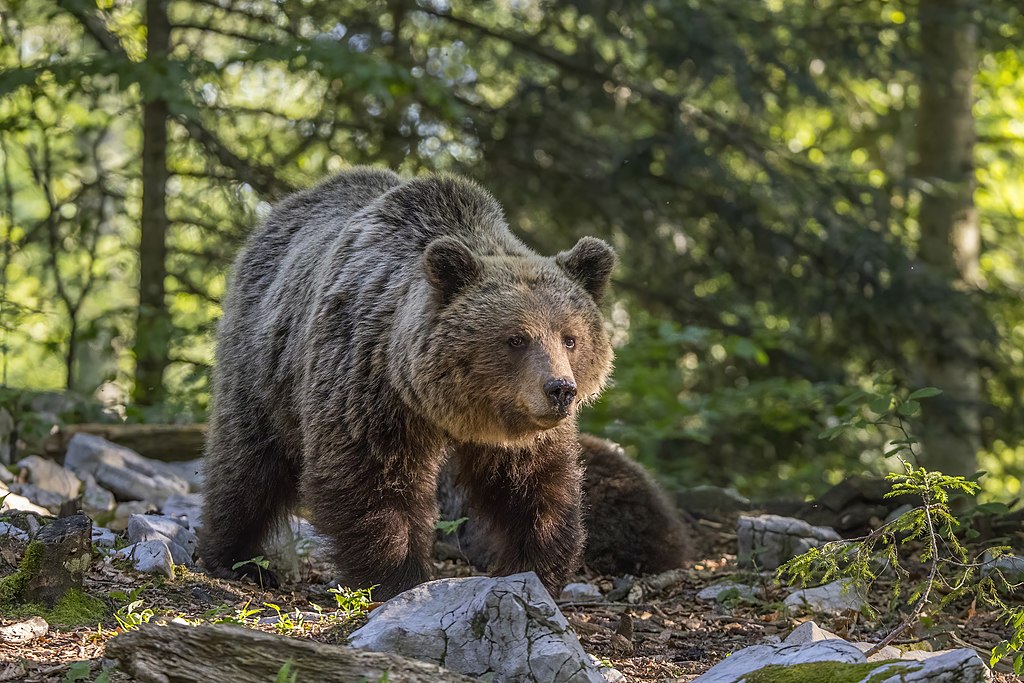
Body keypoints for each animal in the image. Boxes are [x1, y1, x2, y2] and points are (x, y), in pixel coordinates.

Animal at [199, 167, 616, 600]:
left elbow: (534, 486)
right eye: (516, 338)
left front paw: (535, 567)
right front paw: (399, 576)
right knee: (248, 462)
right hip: (264, 361)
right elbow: (370, 478)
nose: (560, 389)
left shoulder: (518, 429)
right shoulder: (368, 384)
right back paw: (236, 558)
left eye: (570, 338)